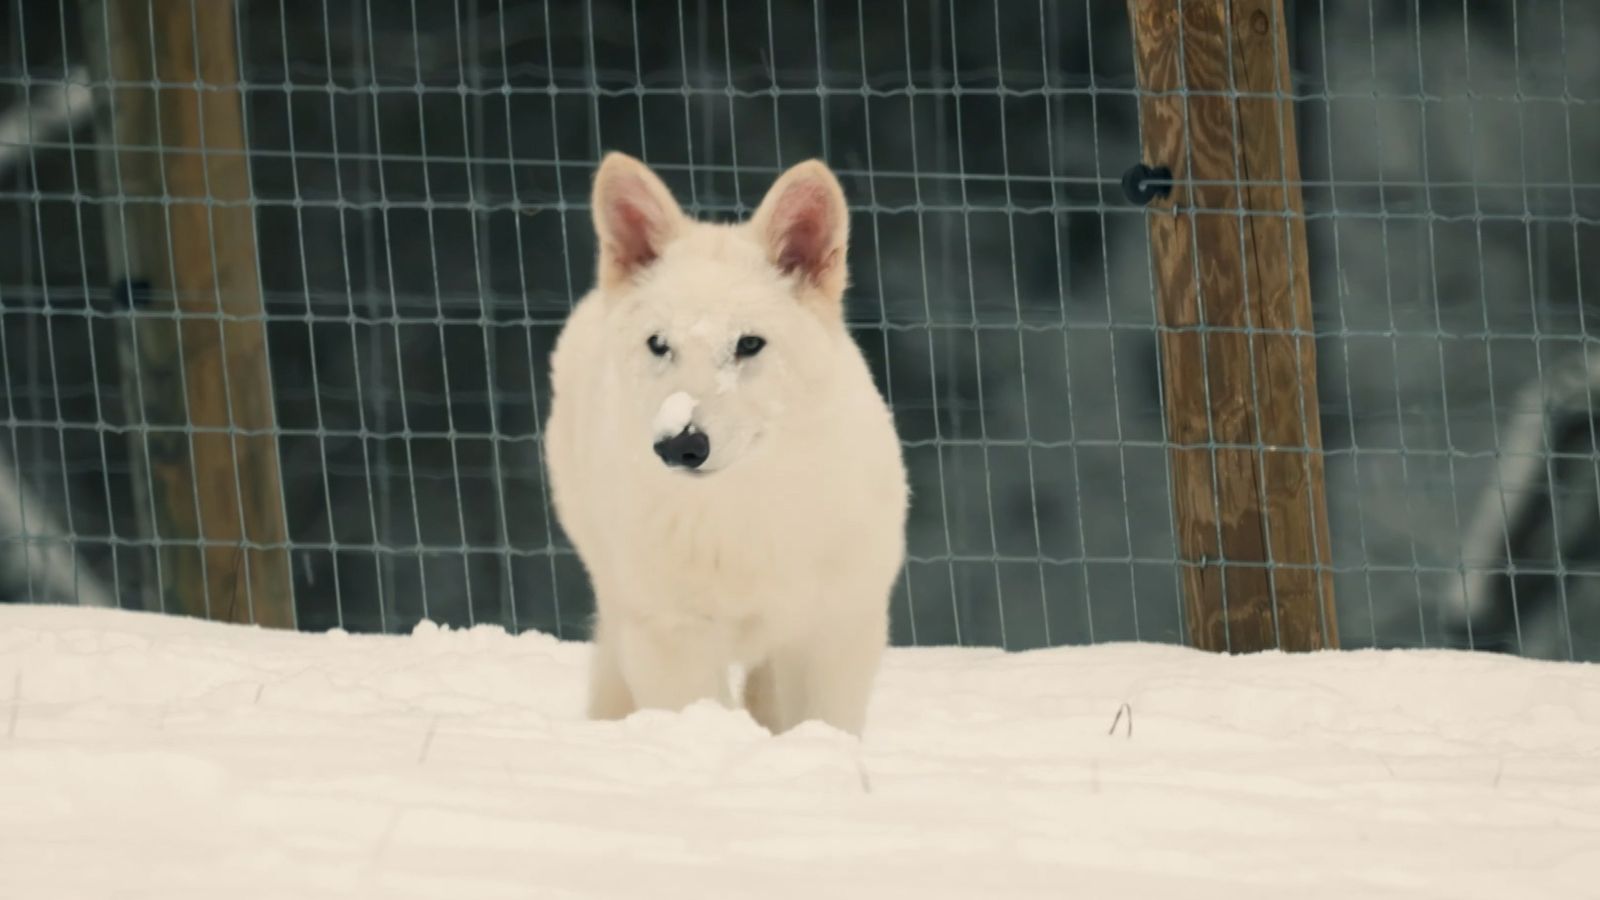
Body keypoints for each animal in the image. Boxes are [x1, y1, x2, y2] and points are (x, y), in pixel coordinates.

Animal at [543, 152, 908, 736]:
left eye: (749, 343)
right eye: (659, 344)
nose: (681, 445)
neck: (741, 511)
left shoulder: (834, 630)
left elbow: (822, 722)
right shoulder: (671, 634)